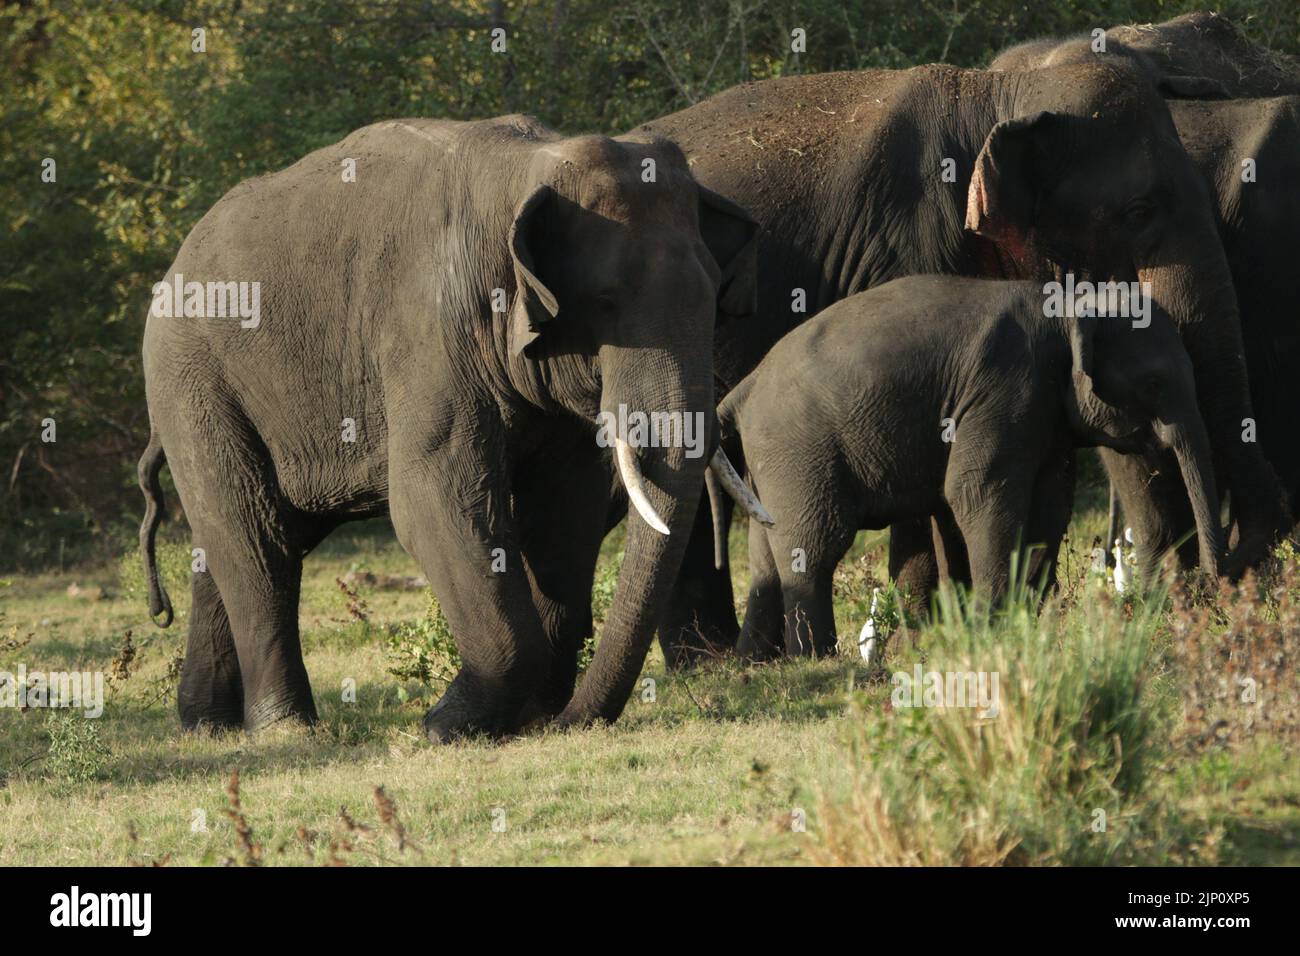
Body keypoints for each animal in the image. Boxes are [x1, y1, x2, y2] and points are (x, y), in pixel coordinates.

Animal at [136, 114, 770, 739]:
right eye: (606, 302)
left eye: (715, 299)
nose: (568, 722)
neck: (528, 170)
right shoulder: (428, 332)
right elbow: (435, 502)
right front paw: (446, 725)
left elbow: (565, 509)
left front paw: (517, 719)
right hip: (193, 381)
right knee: (257, 540)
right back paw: (287, 730)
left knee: (238, 540)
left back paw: (207, 726)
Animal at [716, 276, 1222, 659]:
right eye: (1154, 383)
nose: (1211, 589)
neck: (1067, 304)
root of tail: (744, 387)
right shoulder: (1005, 387)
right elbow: (976, 491)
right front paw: (988, 629)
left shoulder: (1043, 408)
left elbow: (1051, 502)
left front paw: (1020, 620)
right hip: (798, 451)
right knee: (814, 546)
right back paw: (817, 658)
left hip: (771, 464)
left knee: (766, 553)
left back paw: (753, 660)